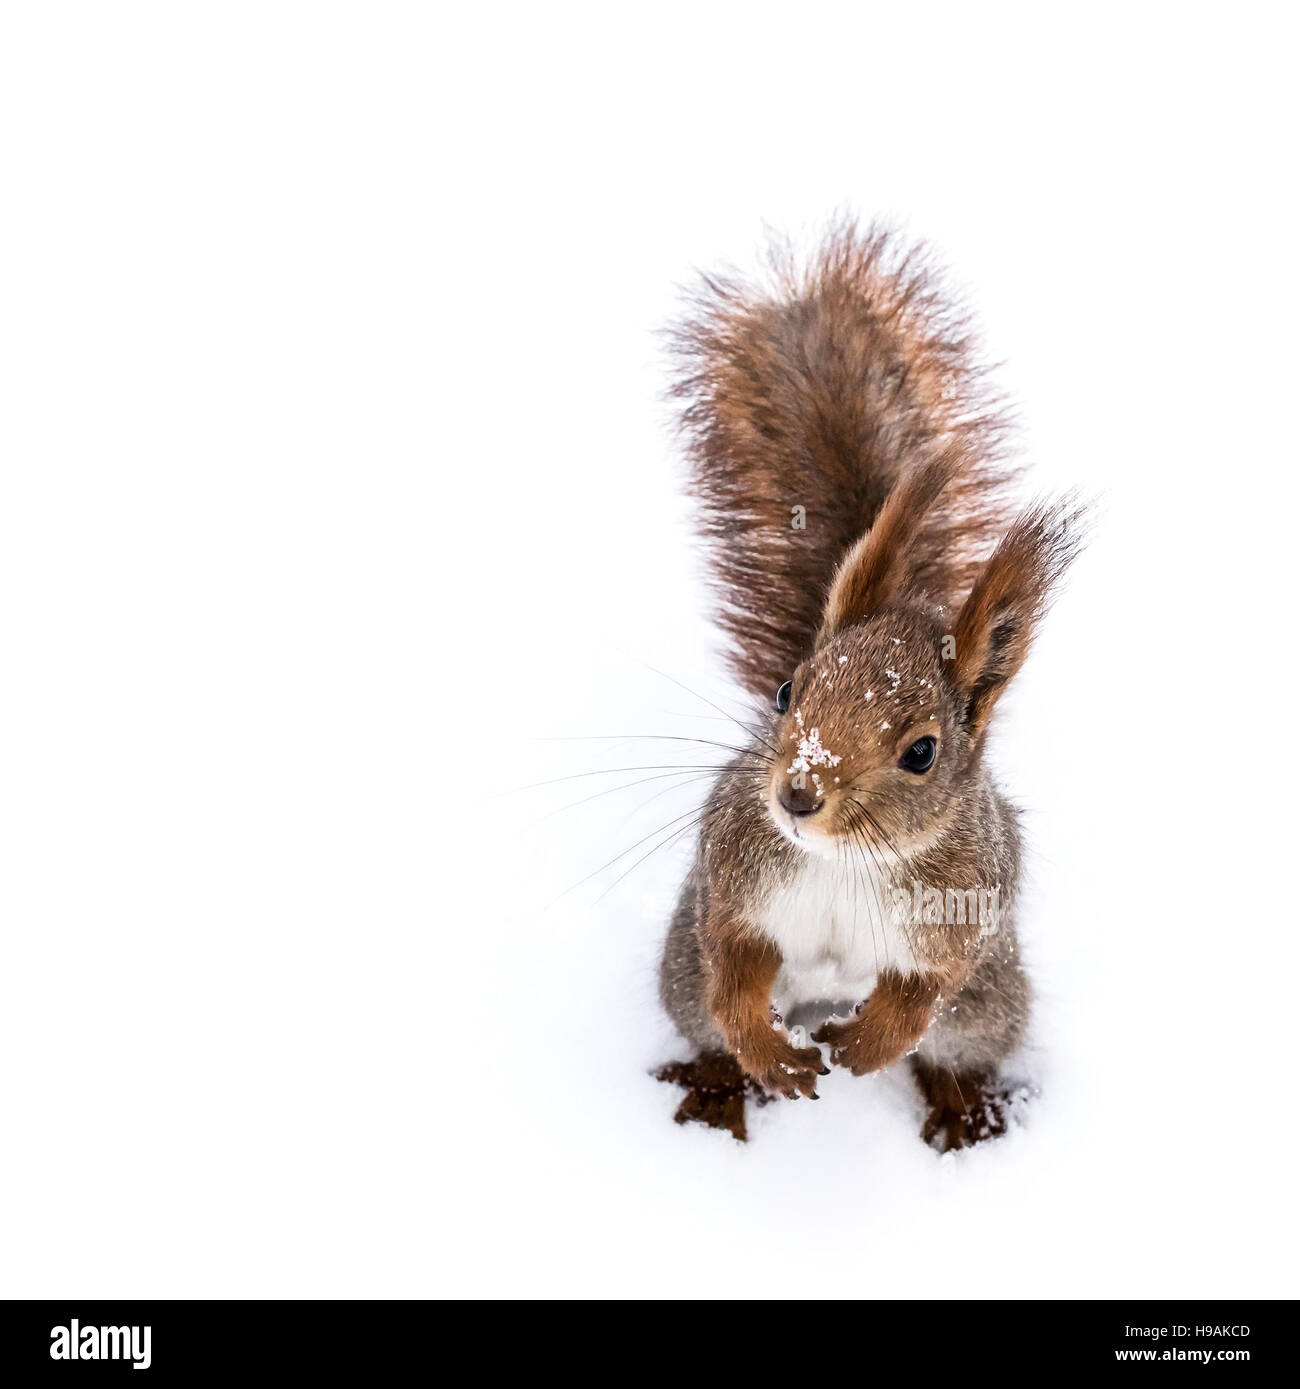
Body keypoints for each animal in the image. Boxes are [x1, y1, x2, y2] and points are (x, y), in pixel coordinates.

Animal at [655, 222, 1085, 1149]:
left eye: (922, 751)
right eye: (788, 690)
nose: (798, 794)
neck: (845, 860)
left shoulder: (967, 909)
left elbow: (925, 990)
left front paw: (872, 1043)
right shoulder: (736, 871)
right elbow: (733, 964)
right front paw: (766, 1054)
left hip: (994, 1003)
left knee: (957, 1042)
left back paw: (964, 1109)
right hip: (678, 973)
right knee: (706, 1012)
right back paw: (719, 1086)